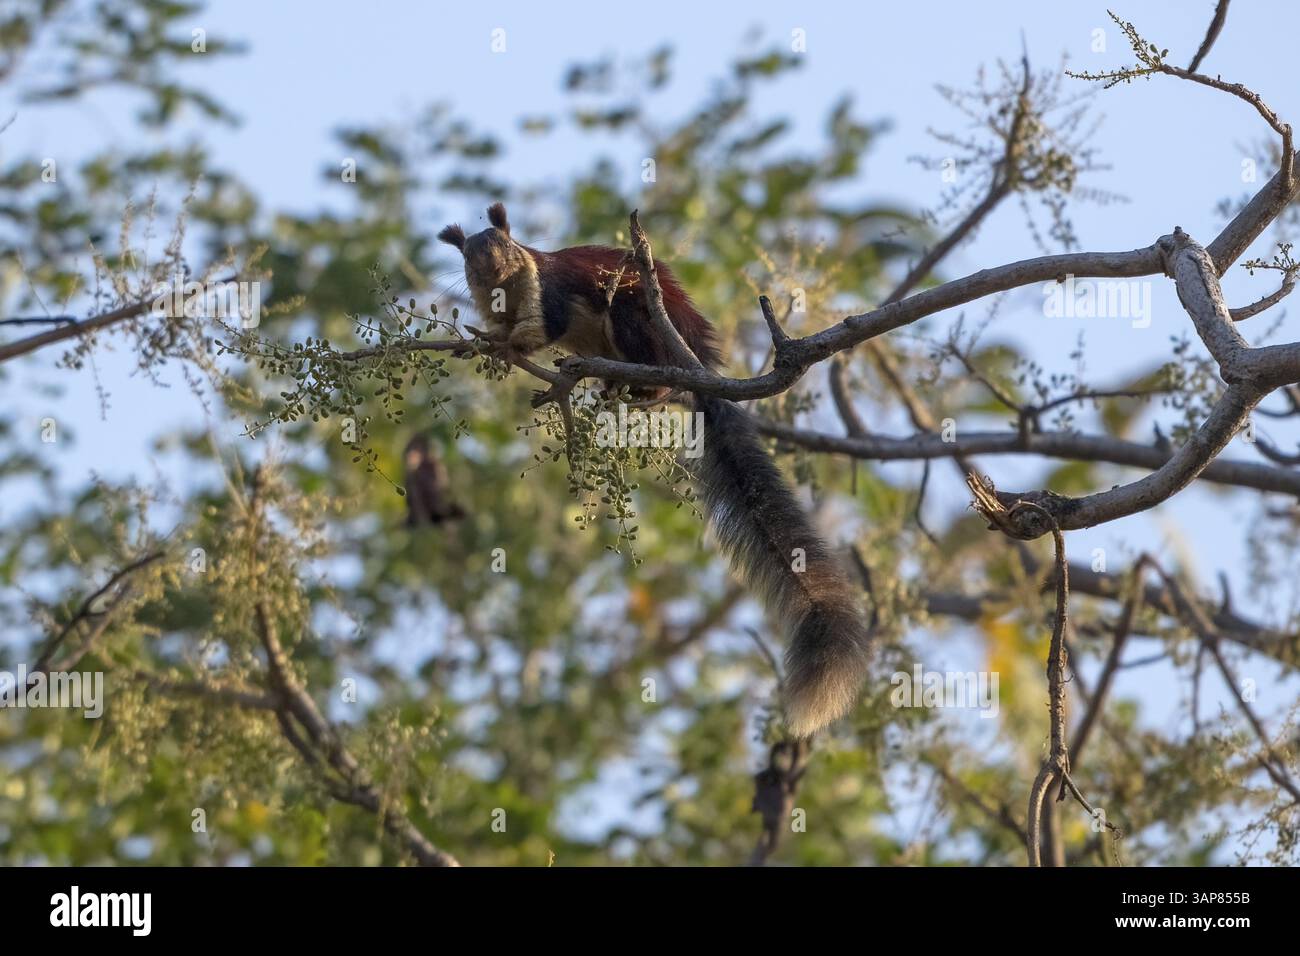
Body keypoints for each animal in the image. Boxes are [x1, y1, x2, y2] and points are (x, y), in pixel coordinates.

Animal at [439, 203, 871, 736]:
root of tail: (698, 363)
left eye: (503, 245)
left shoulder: (548, 292)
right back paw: (611, 387)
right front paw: (482, 341)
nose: (492, 269)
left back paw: (648, 389)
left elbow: (541, 329)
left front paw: (506, 349)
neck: (510, 290)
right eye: (470, 256)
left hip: (636, 318)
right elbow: (500, 328)